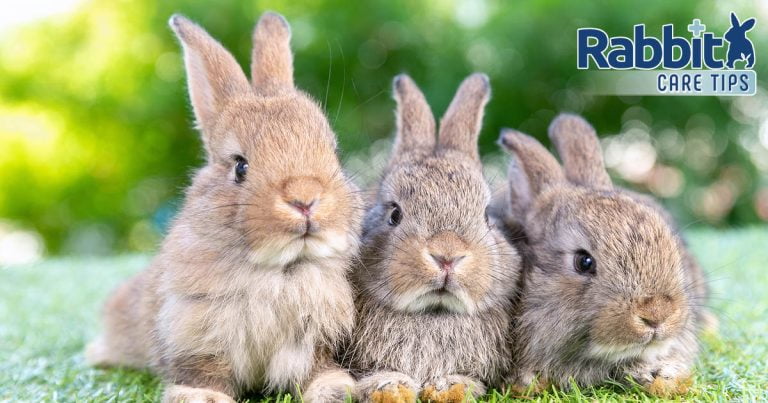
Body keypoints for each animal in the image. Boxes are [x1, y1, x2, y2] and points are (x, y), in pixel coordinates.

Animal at [84, 12, 363, 403]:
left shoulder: (312, 342)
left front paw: (334, 389)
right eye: (240, 166)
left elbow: (314, 370)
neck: (278, 270)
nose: (305, 199)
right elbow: (205, 372)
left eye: (334, 153)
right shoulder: (197, 332)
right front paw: (203, 397)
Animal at [343, 73, 522, 403]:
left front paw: (450, 389)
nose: (447, 255)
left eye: (486, 215)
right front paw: (393, 390)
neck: (433, 313)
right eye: (395, 213)